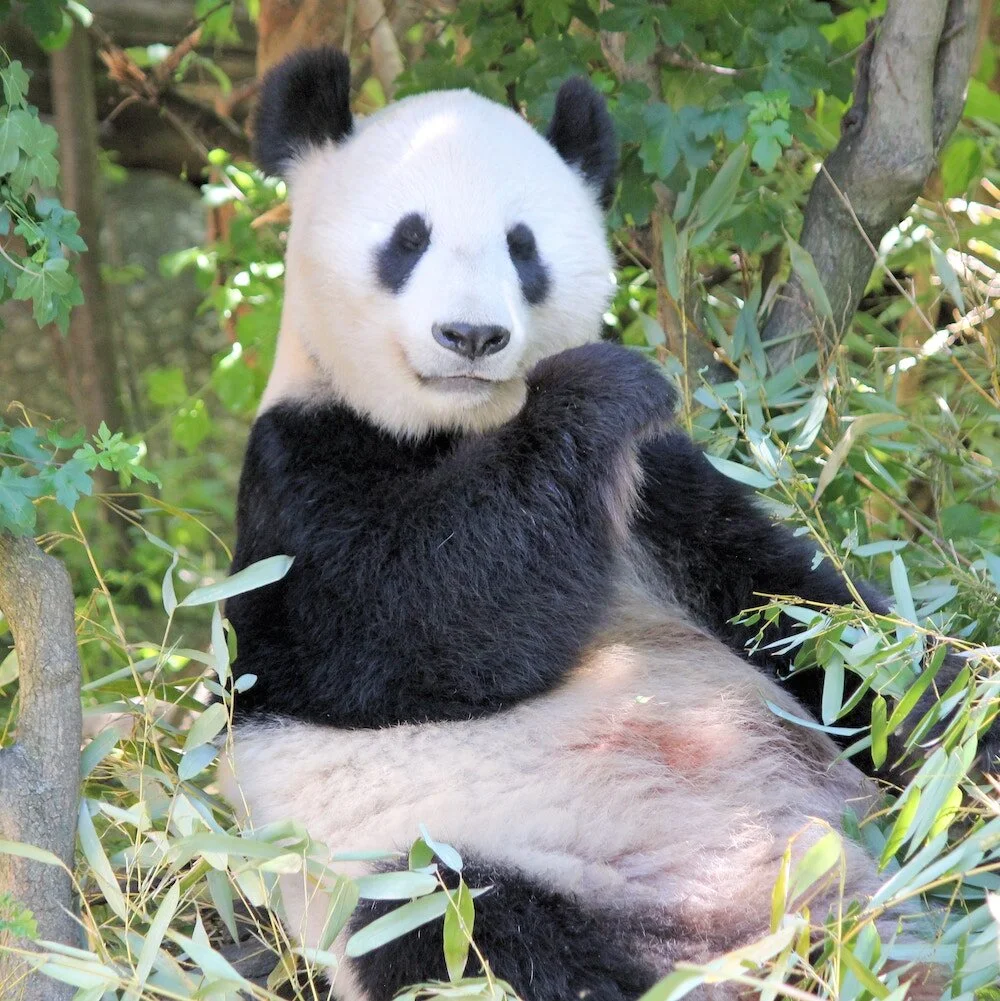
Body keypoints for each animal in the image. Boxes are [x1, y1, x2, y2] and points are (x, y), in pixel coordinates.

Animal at [218, 47, 959, 1001]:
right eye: (408, 239)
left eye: (522, 245)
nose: (471, 335)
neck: (456, 427)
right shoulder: (295, 477)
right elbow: (401, 618)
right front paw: (600, 384)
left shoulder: (659, 493)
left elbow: (815, 625)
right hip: (455, 867)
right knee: (476, 927)